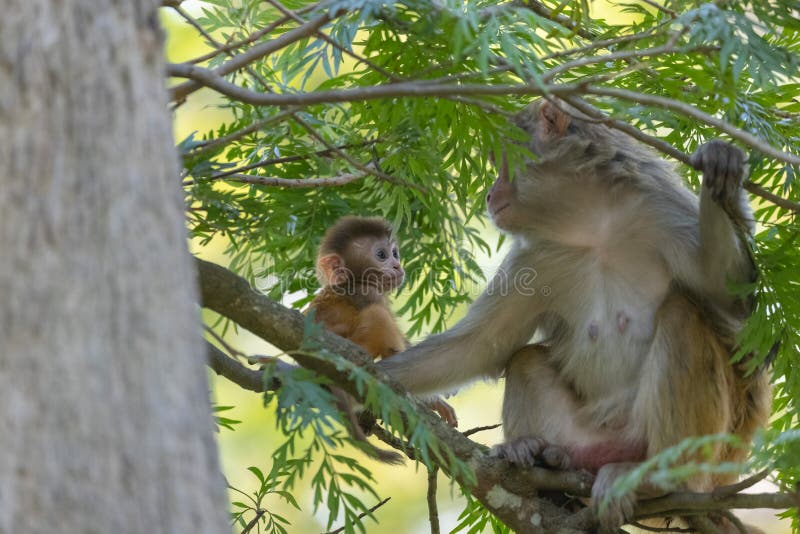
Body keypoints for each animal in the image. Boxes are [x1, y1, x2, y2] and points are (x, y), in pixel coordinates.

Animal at [308, 216, 458, 463]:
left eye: (395, 253)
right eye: (381, 255)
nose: (397, 265)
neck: (354, 281)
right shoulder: (369, 293)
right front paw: (431, 400)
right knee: (377, 316)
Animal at [379, 100, 771, 530]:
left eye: (503, 161)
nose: (489, 194)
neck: (594, 224)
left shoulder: (661, 207)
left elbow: (734, 303)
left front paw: (722, 172)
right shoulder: (536, 257)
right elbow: (482, 346)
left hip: (699, 456)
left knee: (683, 314)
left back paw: (658, 479)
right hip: (589, 438)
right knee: (525, 359)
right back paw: (541, 460)